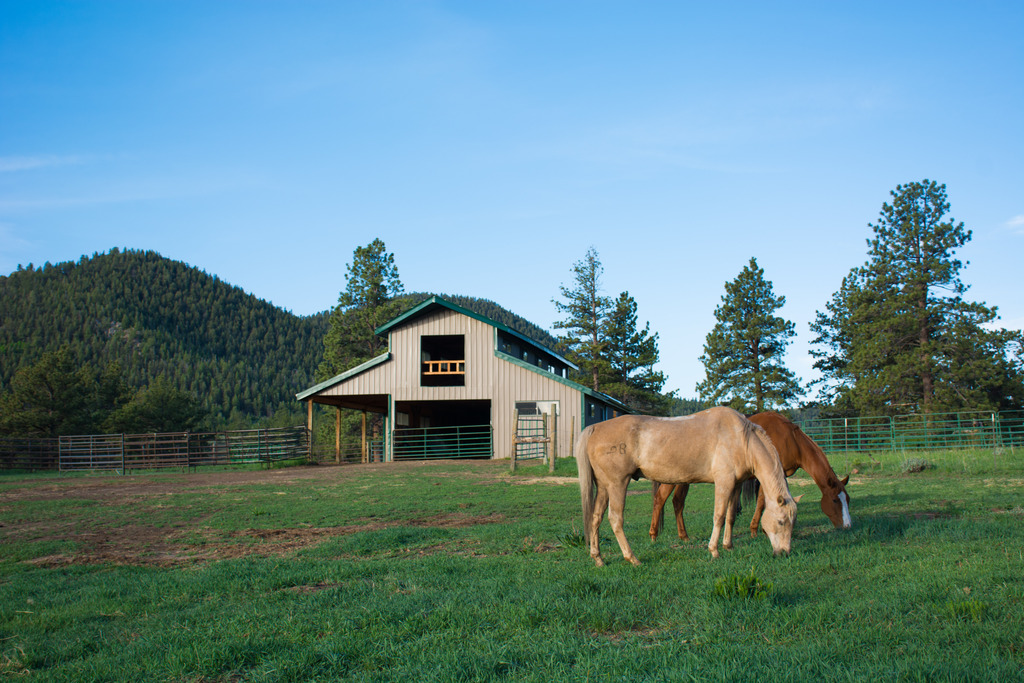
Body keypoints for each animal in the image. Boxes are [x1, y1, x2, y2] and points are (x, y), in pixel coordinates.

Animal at [577, 406, 799, 567]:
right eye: (781, 522)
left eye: (792, 522)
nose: (785, 553)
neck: (741, 438)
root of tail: (596, 428)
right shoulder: (723, 483)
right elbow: (719, 516)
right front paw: (714, 551)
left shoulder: (735, 486)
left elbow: (730, 517)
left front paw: (728, 546)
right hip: (618, 485)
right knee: (615, 519)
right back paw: (632, 558)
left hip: (604, 487)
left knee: (596, 518)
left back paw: (598, 558)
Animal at [649, 411, 850, 543]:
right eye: (834, 500)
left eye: (847, 499)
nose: (847, 526)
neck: (790, 438)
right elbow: (761, 501)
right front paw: (757, 530)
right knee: (661, 499)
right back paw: (654, 535)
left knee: (677, 502)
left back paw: (683, 536)